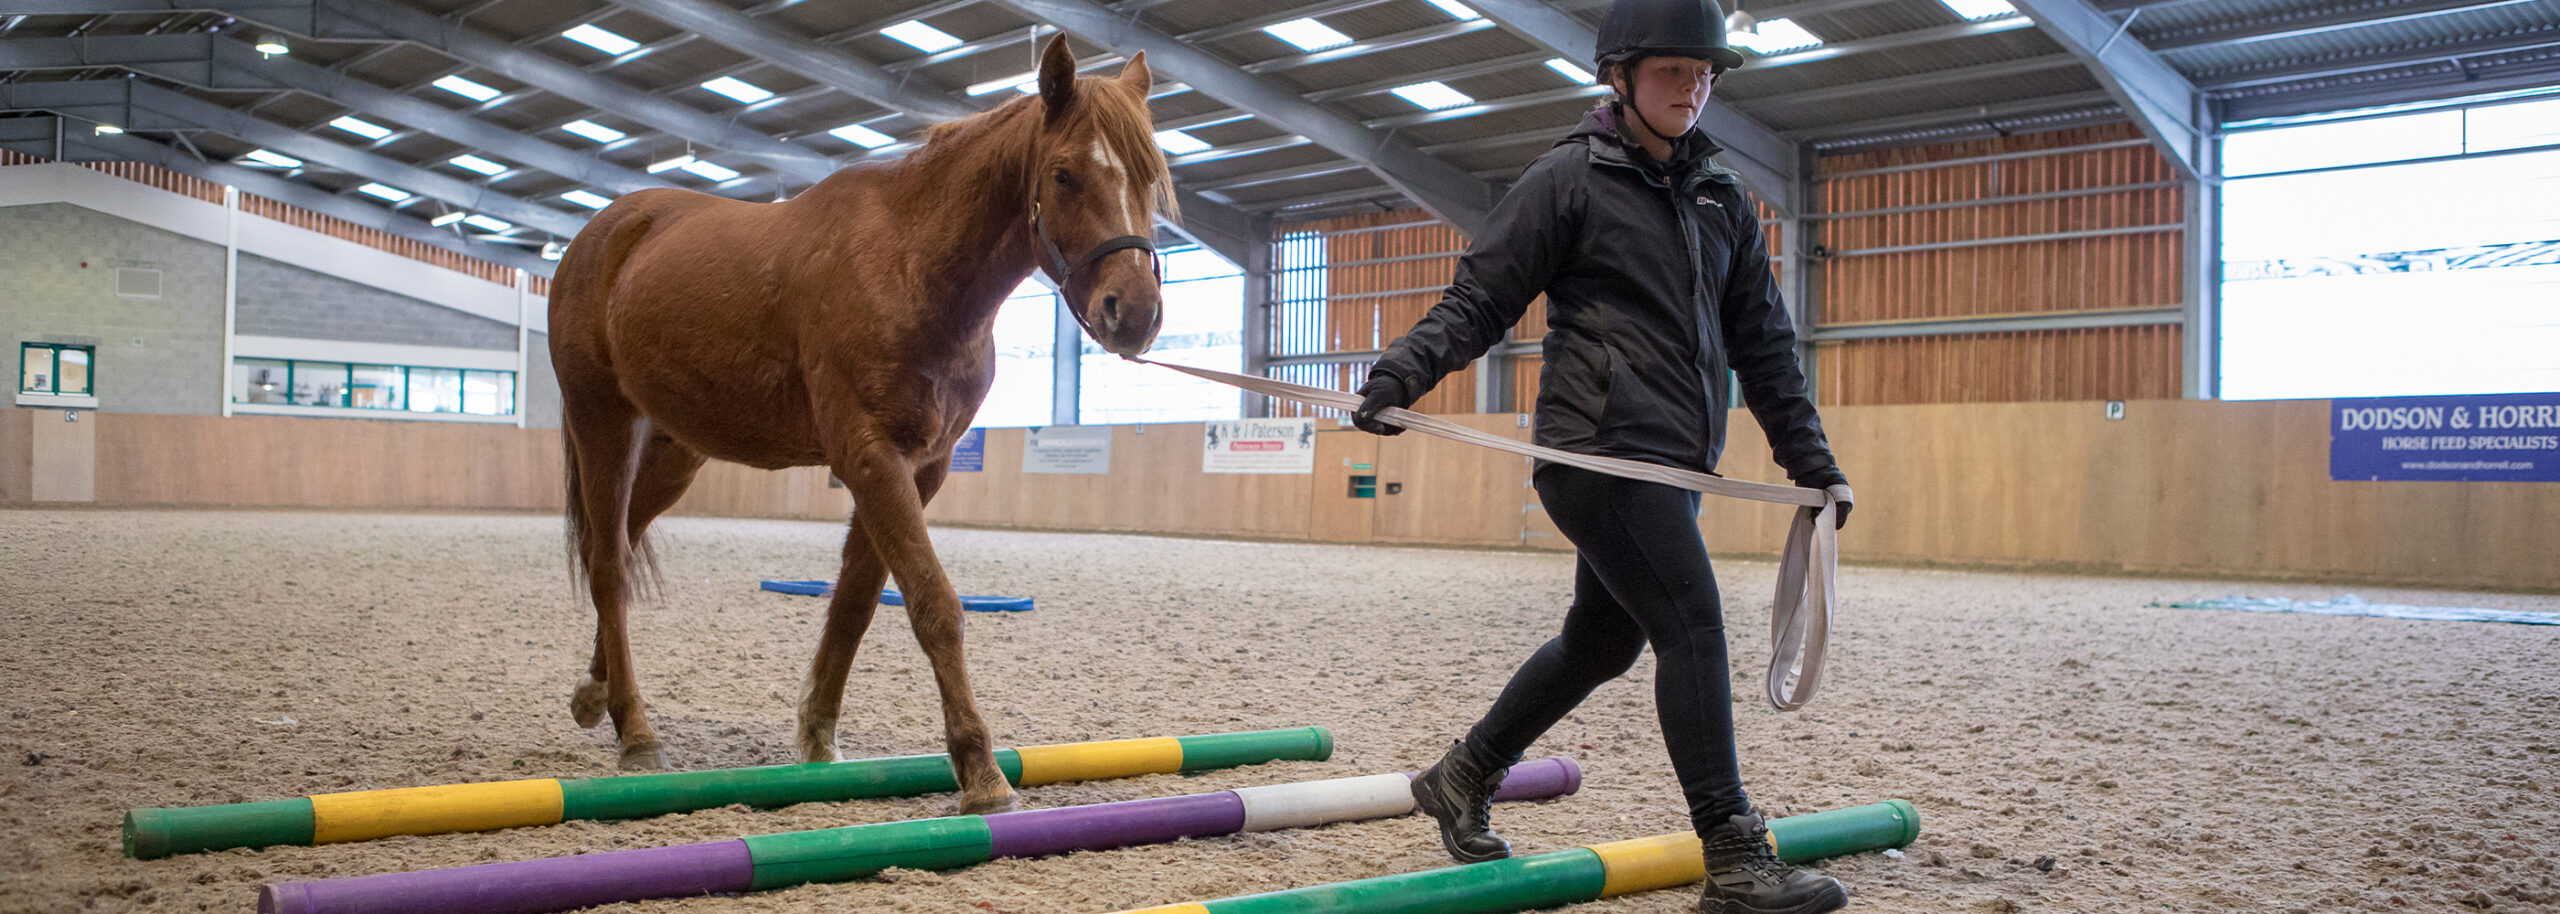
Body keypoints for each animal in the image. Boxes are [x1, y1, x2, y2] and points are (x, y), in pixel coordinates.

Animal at [546, 37, 1174, 815]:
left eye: (1151, 178)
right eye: (1063, 174)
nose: (1134, 312)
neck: (911, 266)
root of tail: (605, 233)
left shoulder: (922, 467)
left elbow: (855, 601)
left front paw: (819, 737)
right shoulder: (872, 458)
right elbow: (933, 604)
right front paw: (981, 772)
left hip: (675, 447)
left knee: (622, 545)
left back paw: (595, 691)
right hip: (601, 418)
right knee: (606, 563)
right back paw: (634, 730)